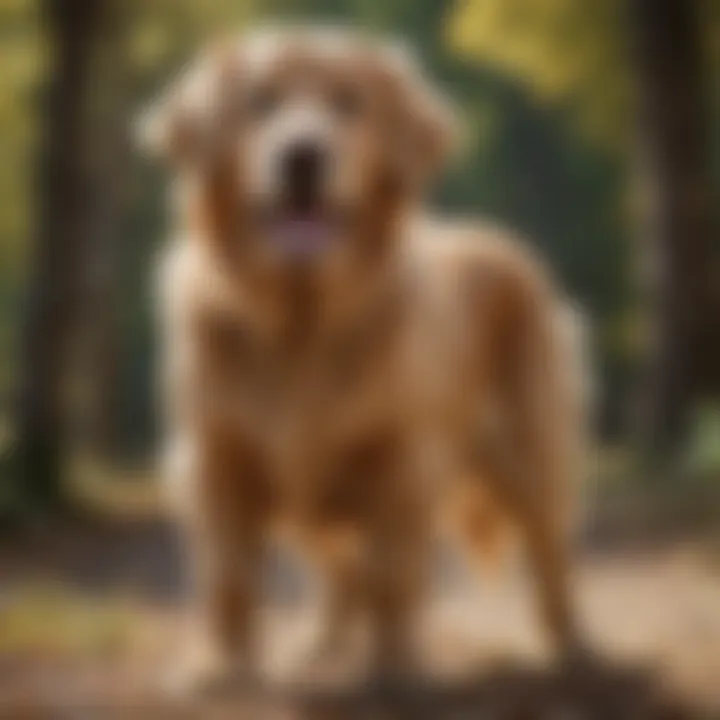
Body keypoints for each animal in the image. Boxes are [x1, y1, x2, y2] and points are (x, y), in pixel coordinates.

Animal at [139, 26, 584, 692]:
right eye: (260, 102)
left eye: (349, 103)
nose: (302, 155)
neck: (301, 328)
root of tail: (509, 244)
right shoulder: (218, 458)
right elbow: (228, 578)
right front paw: (218, 667)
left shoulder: (401, 462)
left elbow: (394, 575)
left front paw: (397, 668)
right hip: (305, 497)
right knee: (341, 575)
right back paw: (316, 647)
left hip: (527, 453)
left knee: (549, 552)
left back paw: (575, 648)